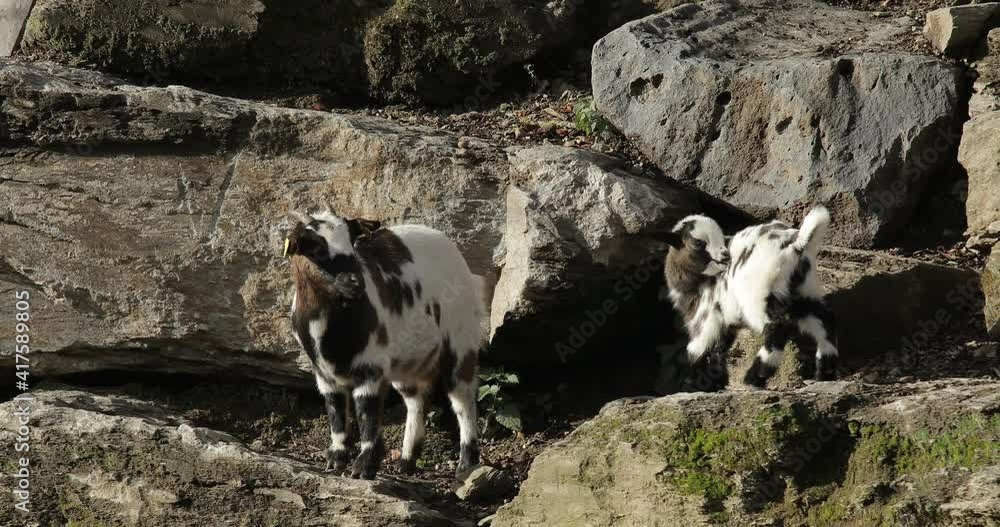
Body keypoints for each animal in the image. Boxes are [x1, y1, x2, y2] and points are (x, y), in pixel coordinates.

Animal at [284, 209, 484, 480]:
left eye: (352, 242)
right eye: (315, 248)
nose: (355, 282)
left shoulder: (370, 366)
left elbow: (366, 410)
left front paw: (364, 465)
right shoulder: (323, 374)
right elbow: (335, 410)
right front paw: (336, 458)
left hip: (461, 340)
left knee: (462, 396)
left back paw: (466, 463)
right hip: (409, 362)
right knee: (416, 400)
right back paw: (406, 461)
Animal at [659, 206, 838, 390]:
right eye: (698, 243)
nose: (725, 256)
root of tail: (798, 243)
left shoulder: (704, 318)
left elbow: (696, 352)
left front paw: (691, 386)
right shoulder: (725, 323)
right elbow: (718, 351)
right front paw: (715, 384)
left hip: (758, 297)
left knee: (777, 328)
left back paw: (755, 376)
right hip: (804, 293)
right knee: (825, 320)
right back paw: (825, 373)